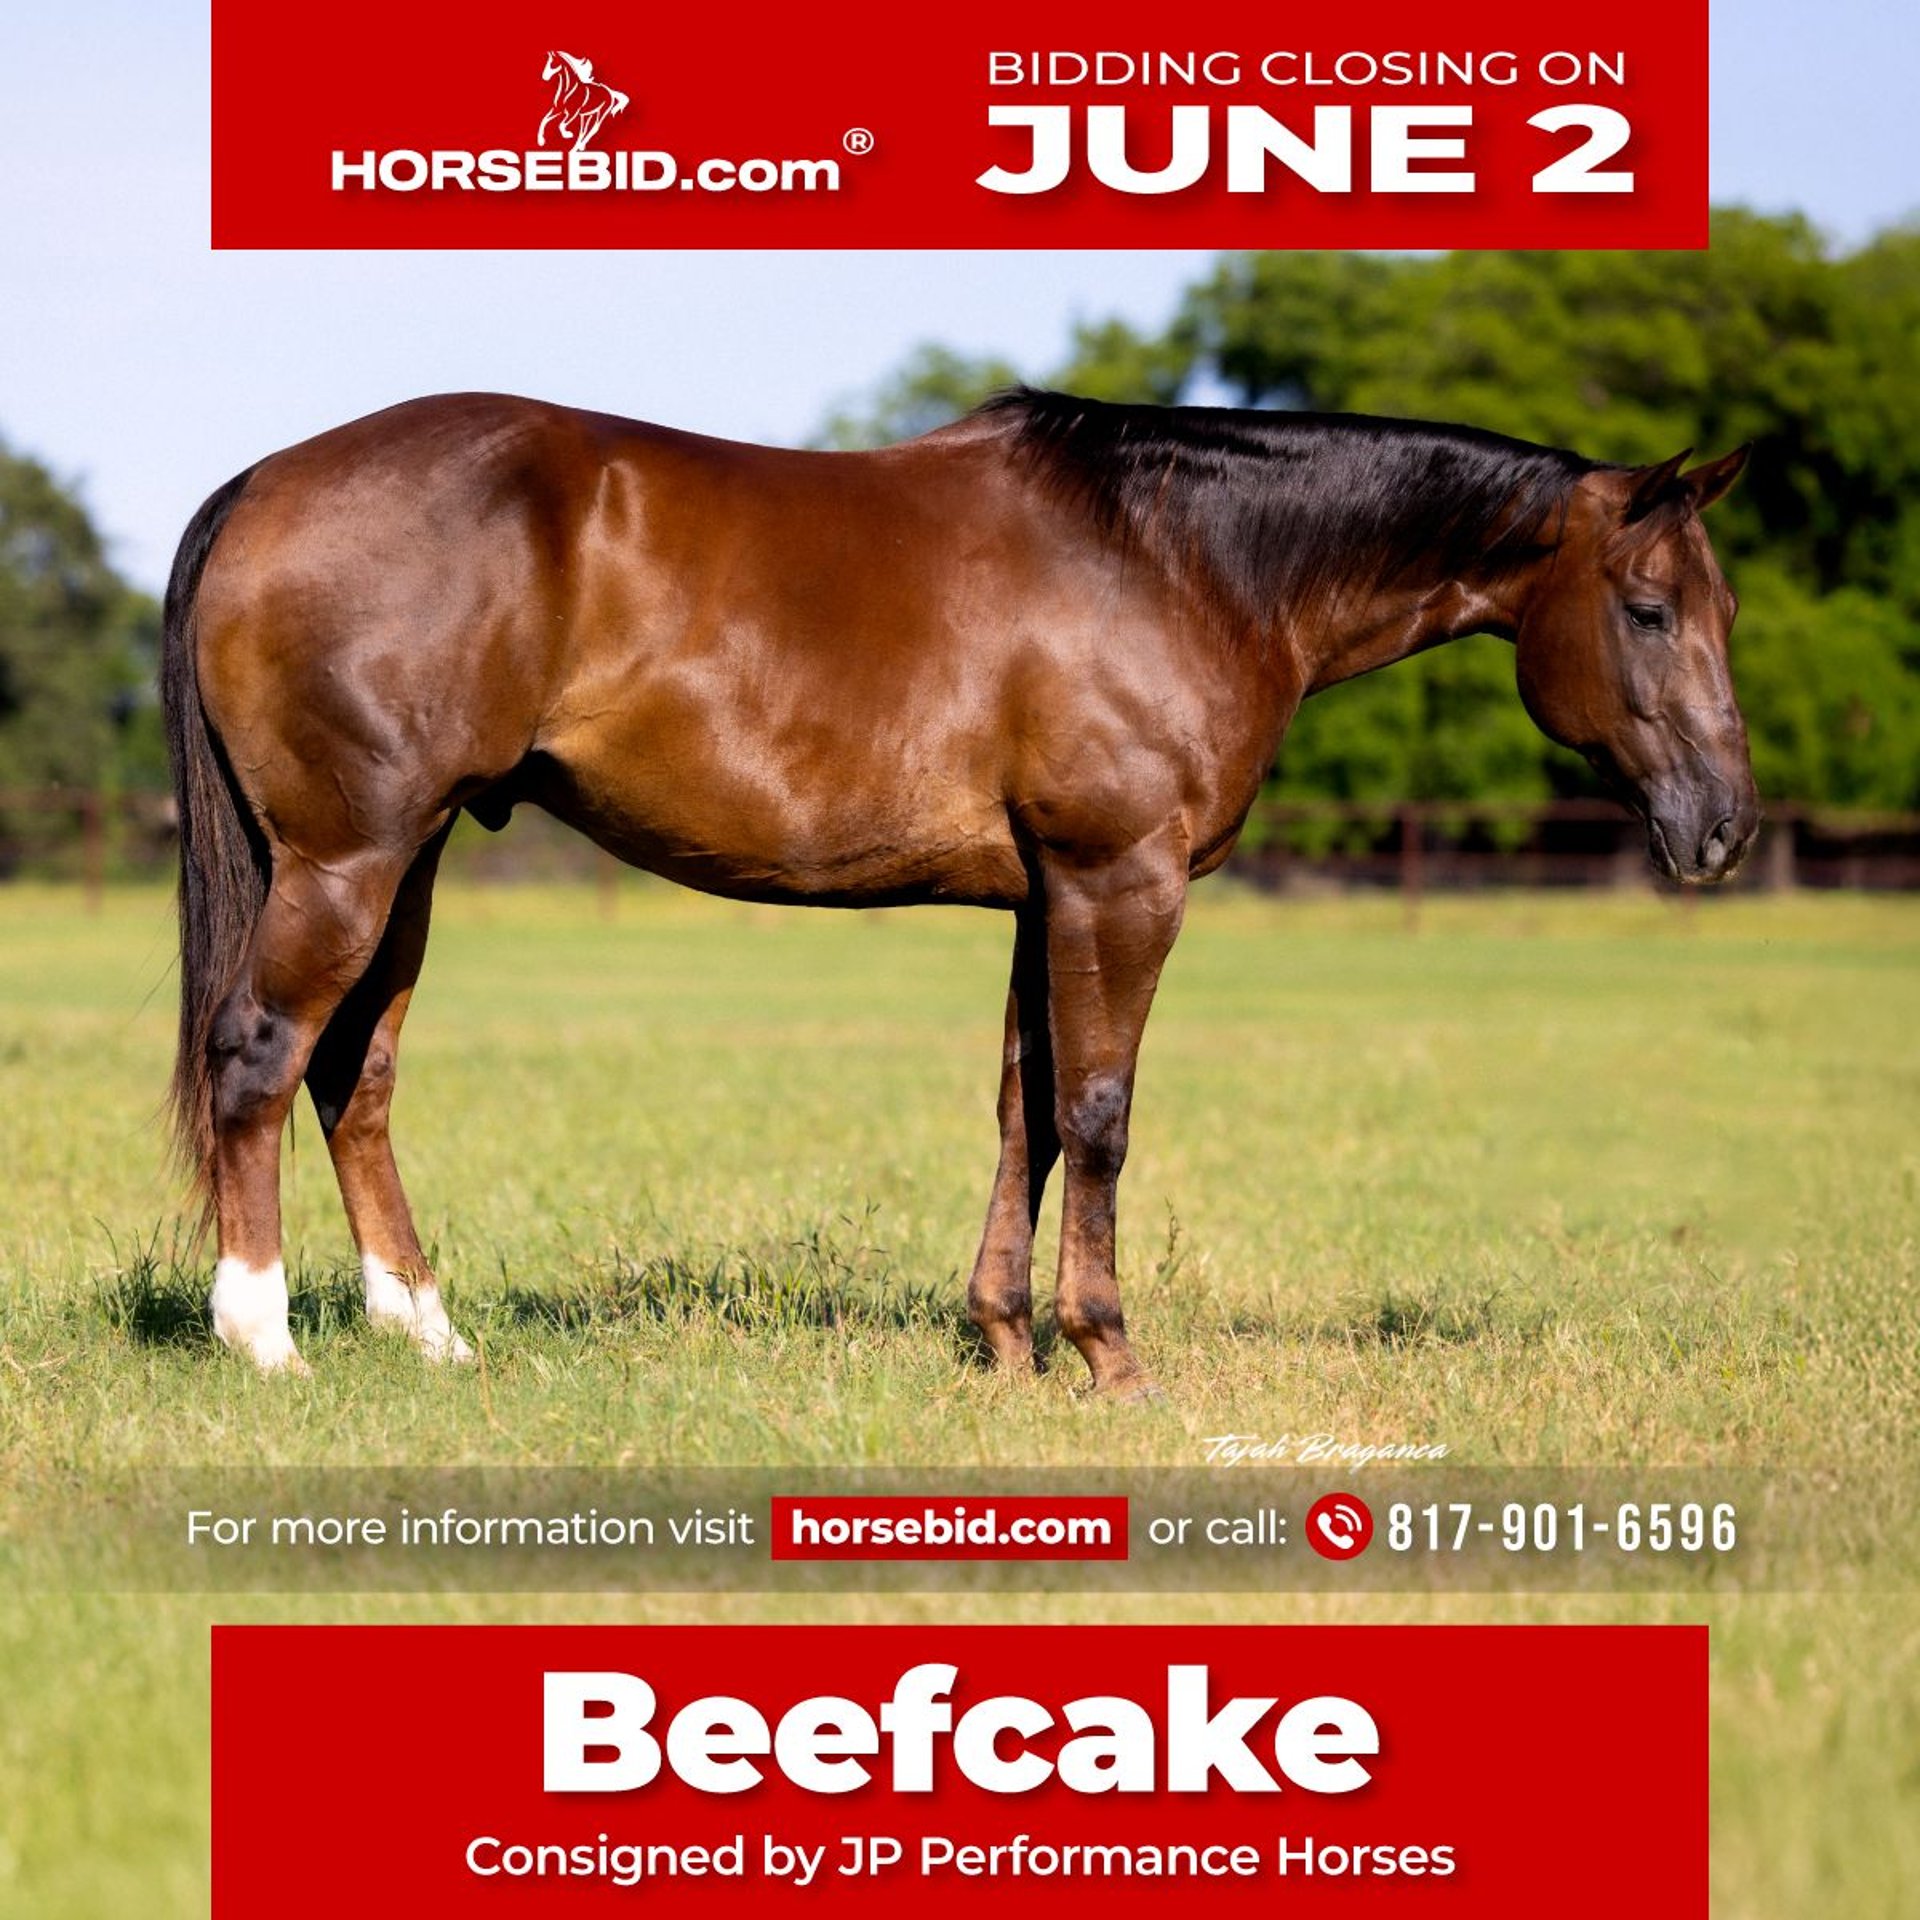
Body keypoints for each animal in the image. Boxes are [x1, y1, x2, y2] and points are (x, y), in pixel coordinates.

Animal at [160, 390, 1756, 1390]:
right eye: (1648, 609)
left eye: (1723, 607)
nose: (1725, 828)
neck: (1185, 558)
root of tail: (264, 481)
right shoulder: (1121, 883)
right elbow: (1099, 1116)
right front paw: (1109, 1353)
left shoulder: (1047, 897)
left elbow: (1025, 1112)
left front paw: (1001, 1340)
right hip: (354, 859)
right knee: (261, 1054)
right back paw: (265, 1340)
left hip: (413, 859)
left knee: (354, 1078)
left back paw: (426, 1336)